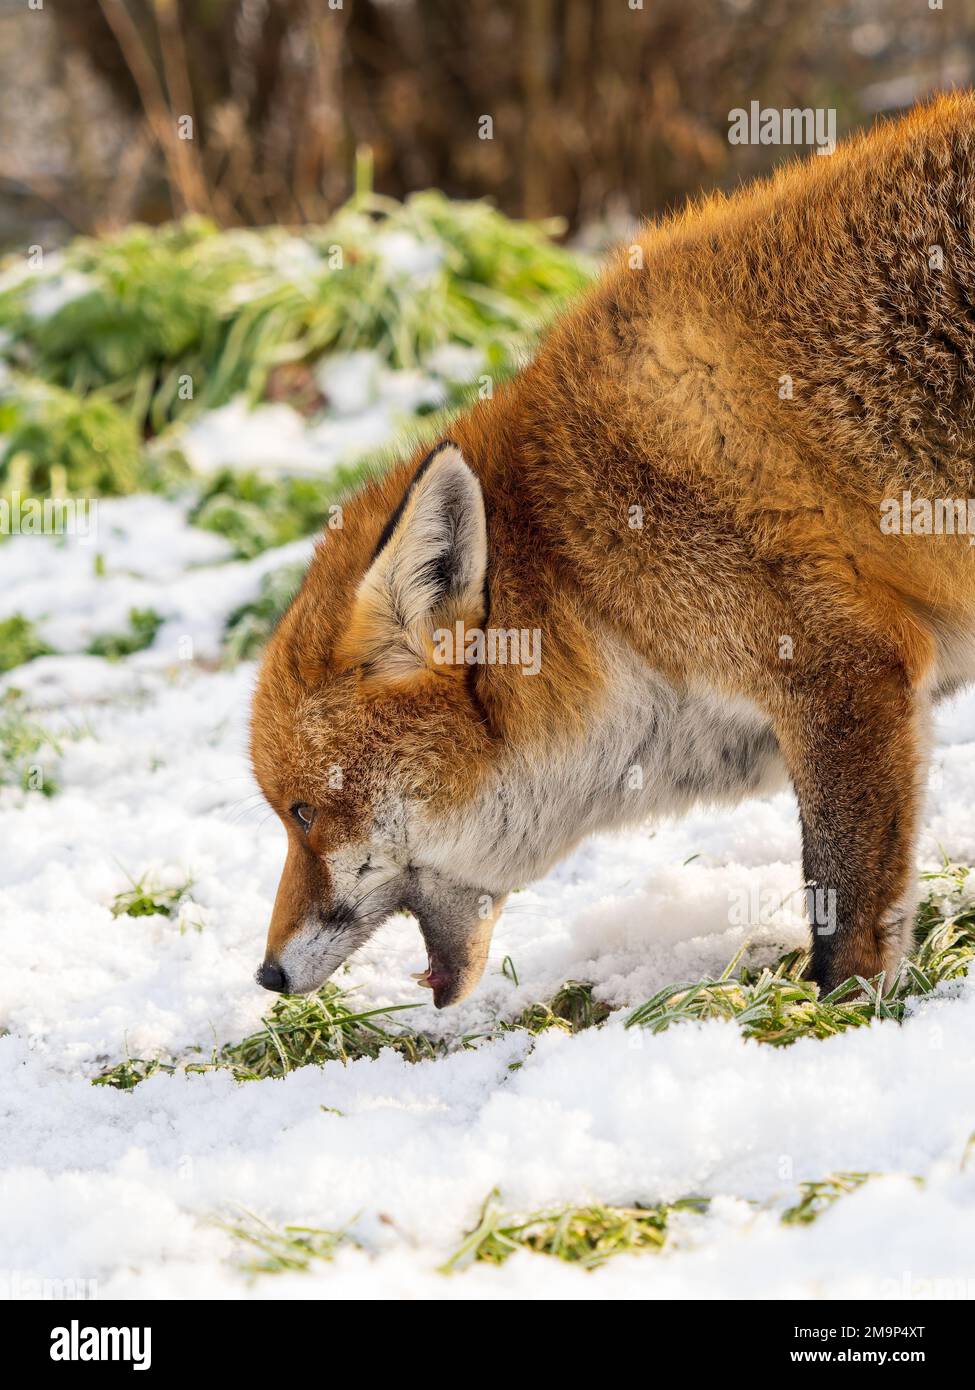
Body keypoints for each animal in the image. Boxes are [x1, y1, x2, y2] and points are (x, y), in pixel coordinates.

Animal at [251, 92, 975, 1008]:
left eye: (303, 814)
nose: (266, 975)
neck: (584, 568)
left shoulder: (839, 670)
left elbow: (843, 903)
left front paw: (834, 1015)